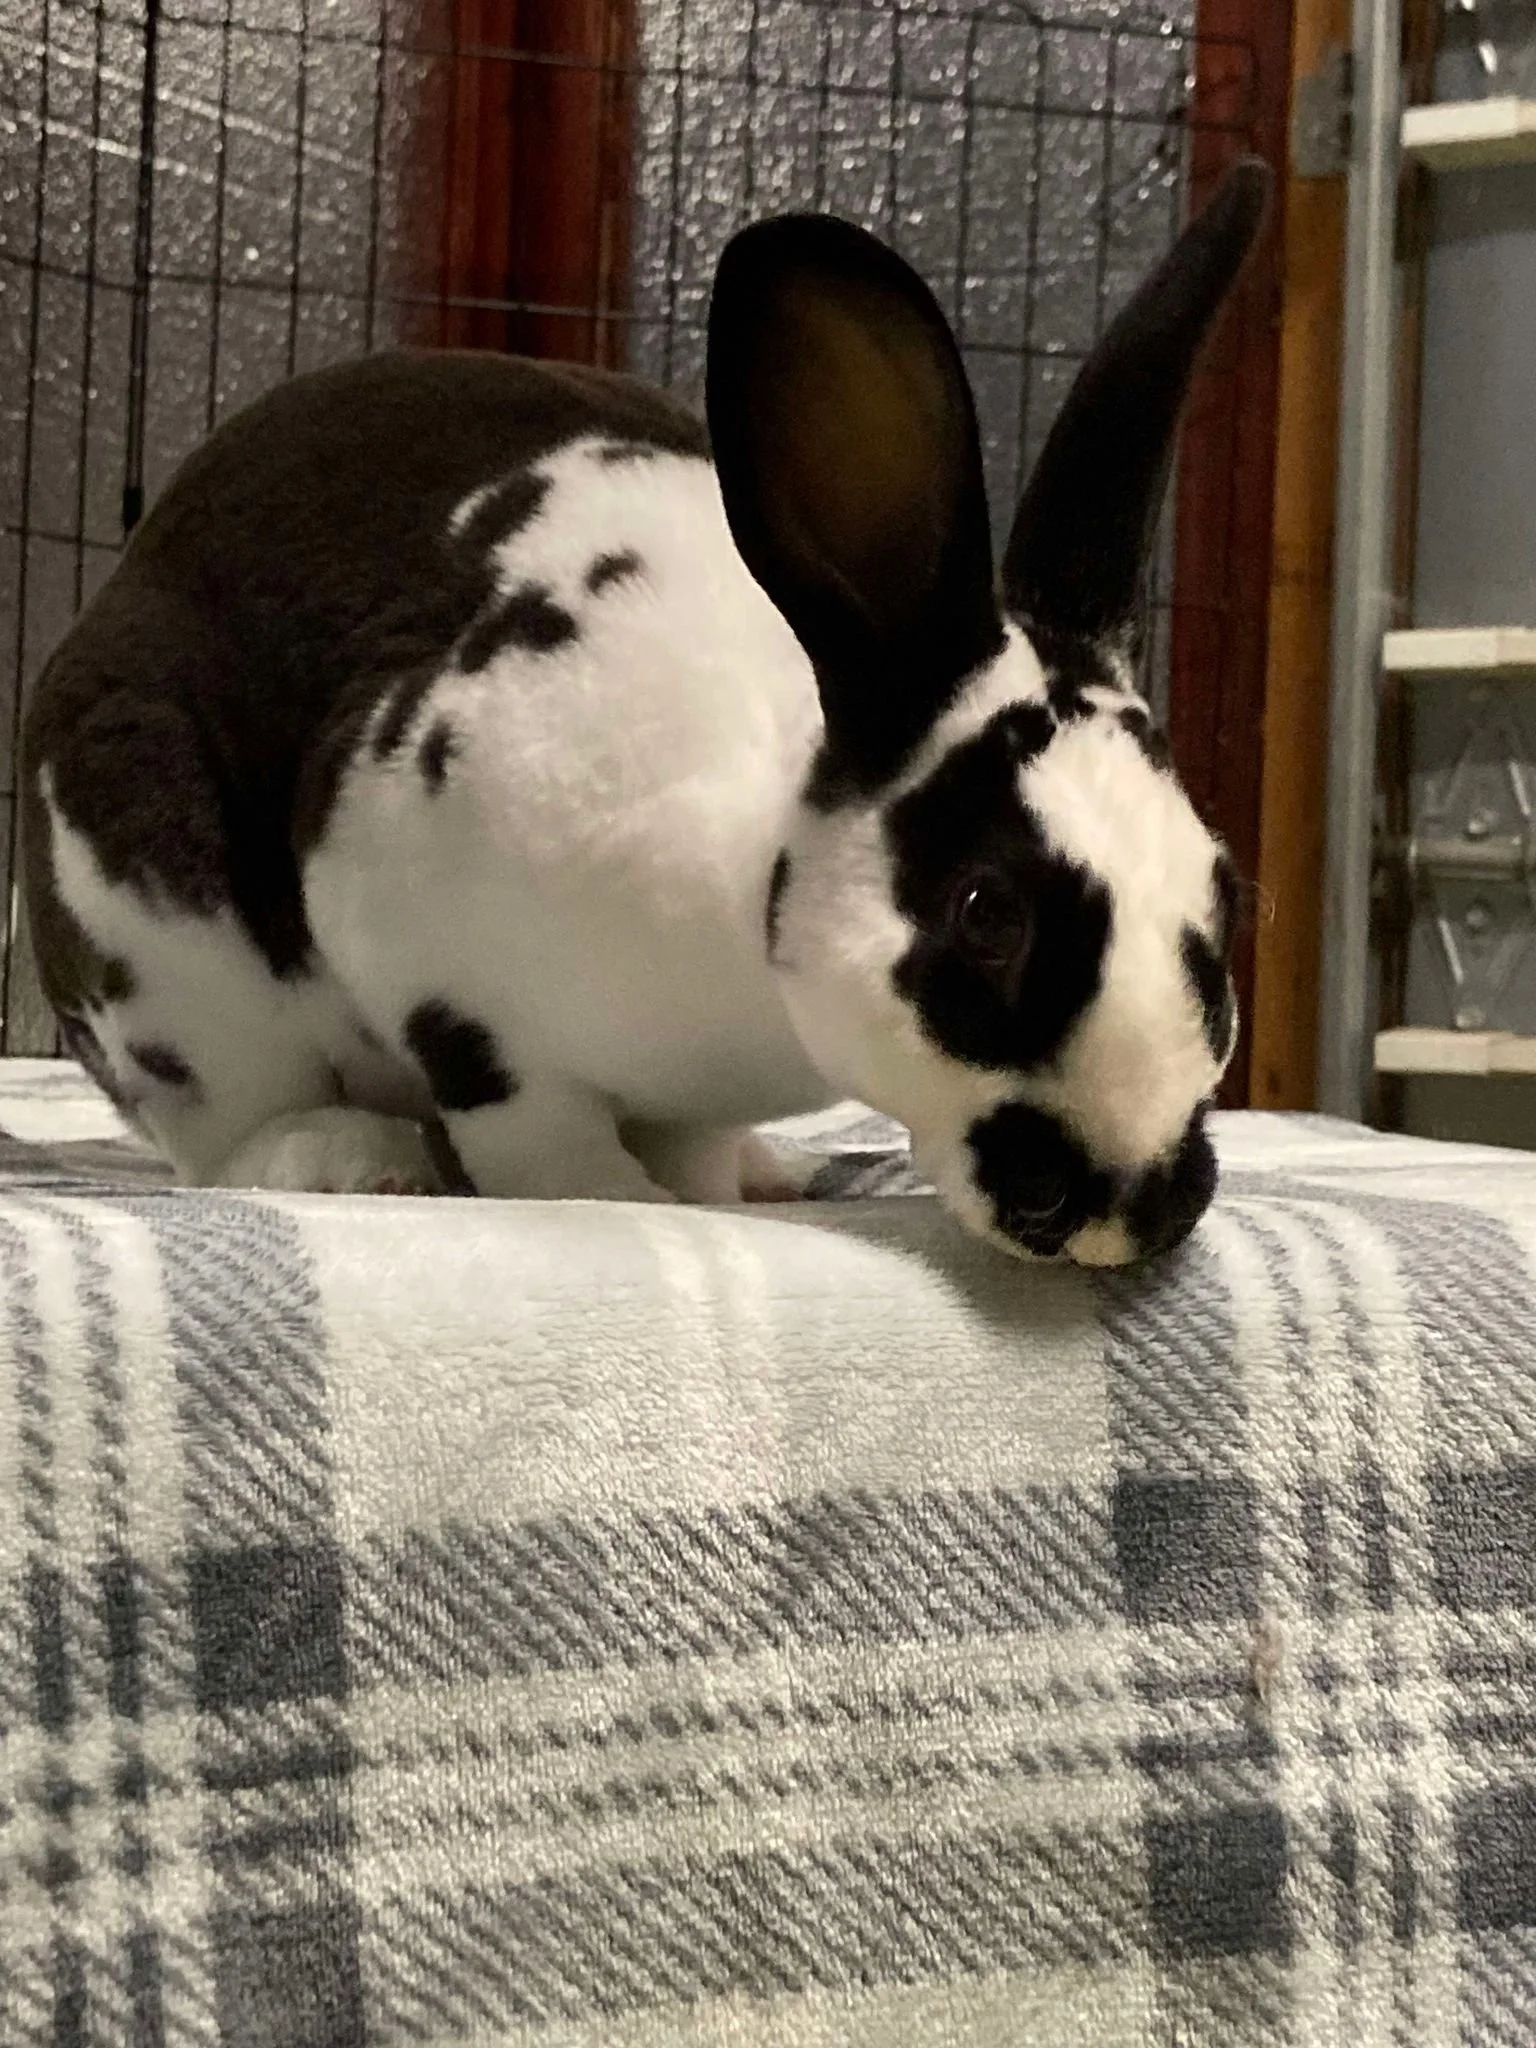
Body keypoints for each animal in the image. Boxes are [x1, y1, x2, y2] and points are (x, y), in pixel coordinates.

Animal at [22, 157, 1269, 1265]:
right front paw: (624, 1198)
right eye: (986, 911)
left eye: (1223, 889)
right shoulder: (428, 950)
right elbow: (538, 1135)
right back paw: (352, 1158)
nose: (1138, 1209)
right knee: (225, 1126)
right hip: (169, 951)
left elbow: (691, 1143)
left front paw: (707, 1184)